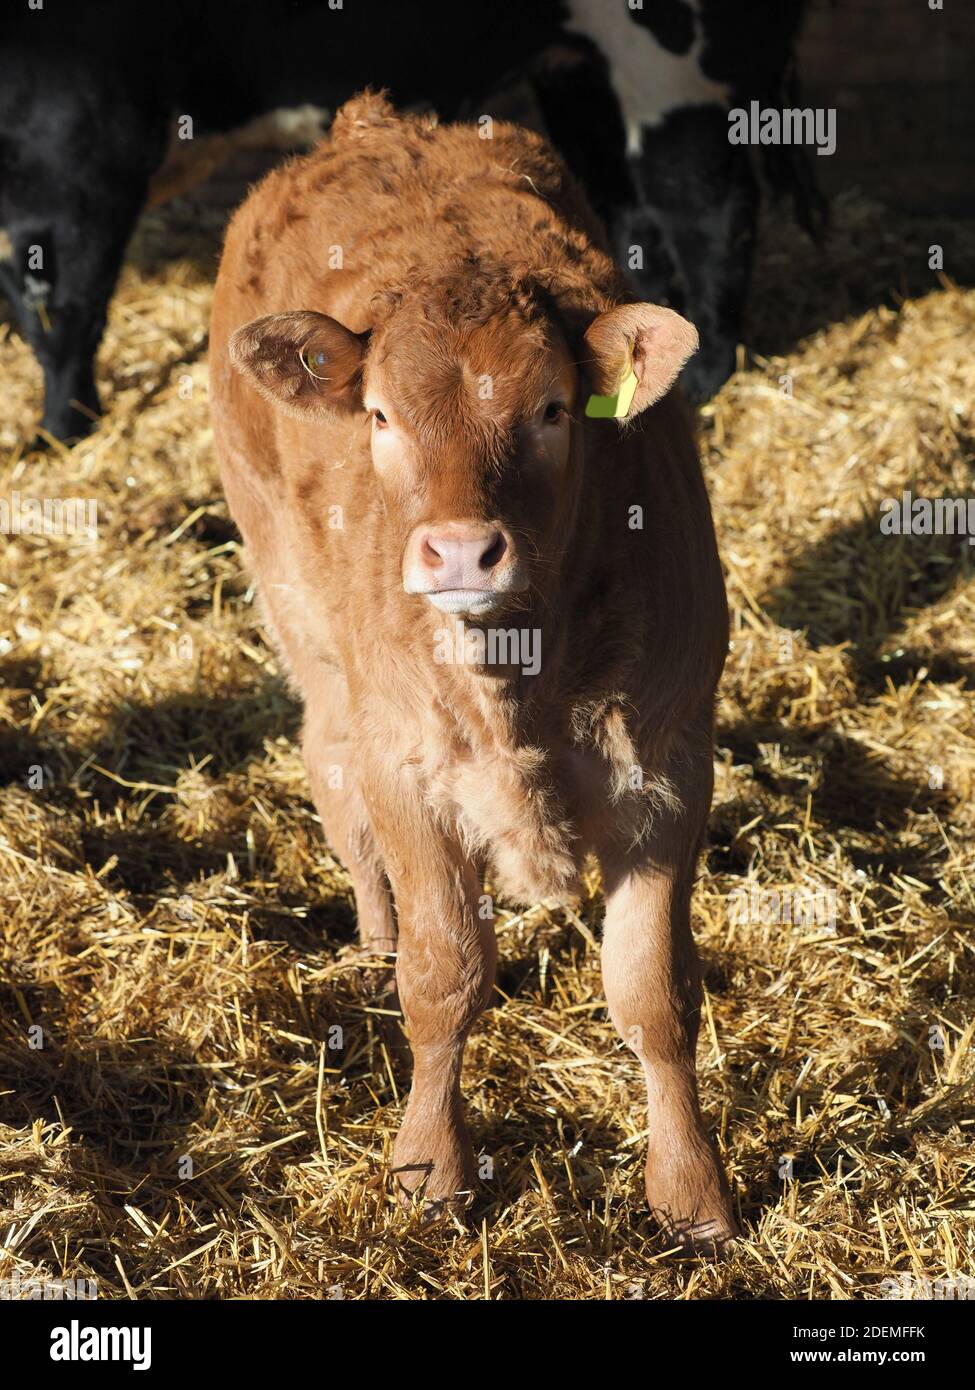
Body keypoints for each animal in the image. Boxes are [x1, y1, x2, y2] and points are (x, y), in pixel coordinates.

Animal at [1, 0, 820, 441]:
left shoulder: (86, 157)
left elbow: (71, 312)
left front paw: (63, 428)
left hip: (672, 75)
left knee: (713, 213)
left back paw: (705, 379)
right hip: (581, 77)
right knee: (633, 212)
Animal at [209, 91, 736, 1251]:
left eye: (551, 409)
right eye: (379, 415)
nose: (458, 551)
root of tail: (374, 121)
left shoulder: (672, 768)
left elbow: (654, 993)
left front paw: (692, 1188)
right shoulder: (411, 769)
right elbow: (443, 977)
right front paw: (430, 1165)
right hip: (305, 623)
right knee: (330, 766)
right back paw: (371, 939)